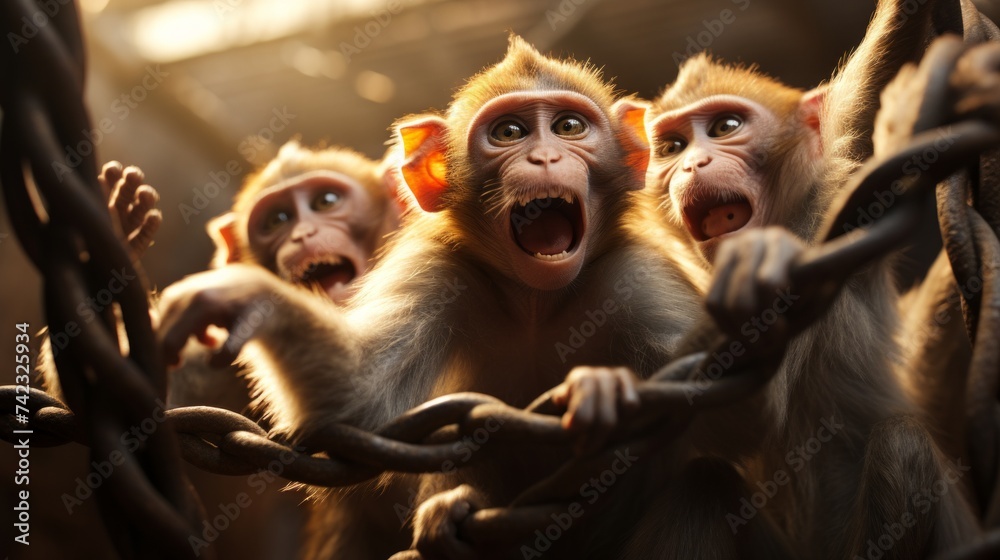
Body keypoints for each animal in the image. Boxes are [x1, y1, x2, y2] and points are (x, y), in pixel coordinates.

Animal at [156, 35, 706, 559]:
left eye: (569, 127)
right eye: (509, 133)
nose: (546, 156)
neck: (537, 300)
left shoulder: (639, 276)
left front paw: (600, 388)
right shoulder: (440, 271)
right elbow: (358, 398)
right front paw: (245, 298)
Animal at [619, 1, 982, 558]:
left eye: (725, 126)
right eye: (673, 146)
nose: (692, 164)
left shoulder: (838, 204)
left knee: (901, 444)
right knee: (702, 485)